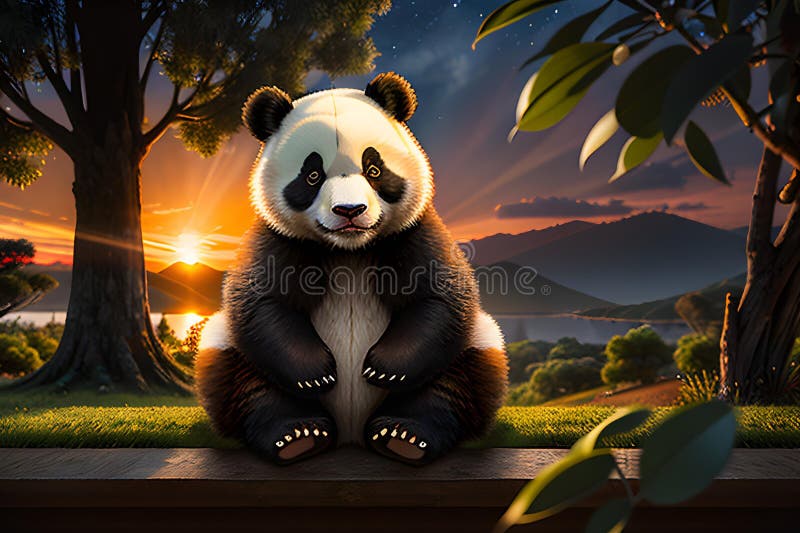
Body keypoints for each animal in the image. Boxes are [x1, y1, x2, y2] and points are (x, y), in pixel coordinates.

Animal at [195, 72, 508, 466]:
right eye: (312, 175)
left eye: (374, 169)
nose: (350, 210)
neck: (349, 252)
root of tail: (350, 432)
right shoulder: (277, 241)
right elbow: (260, 303)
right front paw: (316, 374)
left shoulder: (414, 234)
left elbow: (441, 298)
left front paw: (383, 368)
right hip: (227, 349)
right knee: (245, 383)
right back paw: (298, 434)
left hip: (476, 346)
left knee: (455, 382)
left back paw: (402, 435)